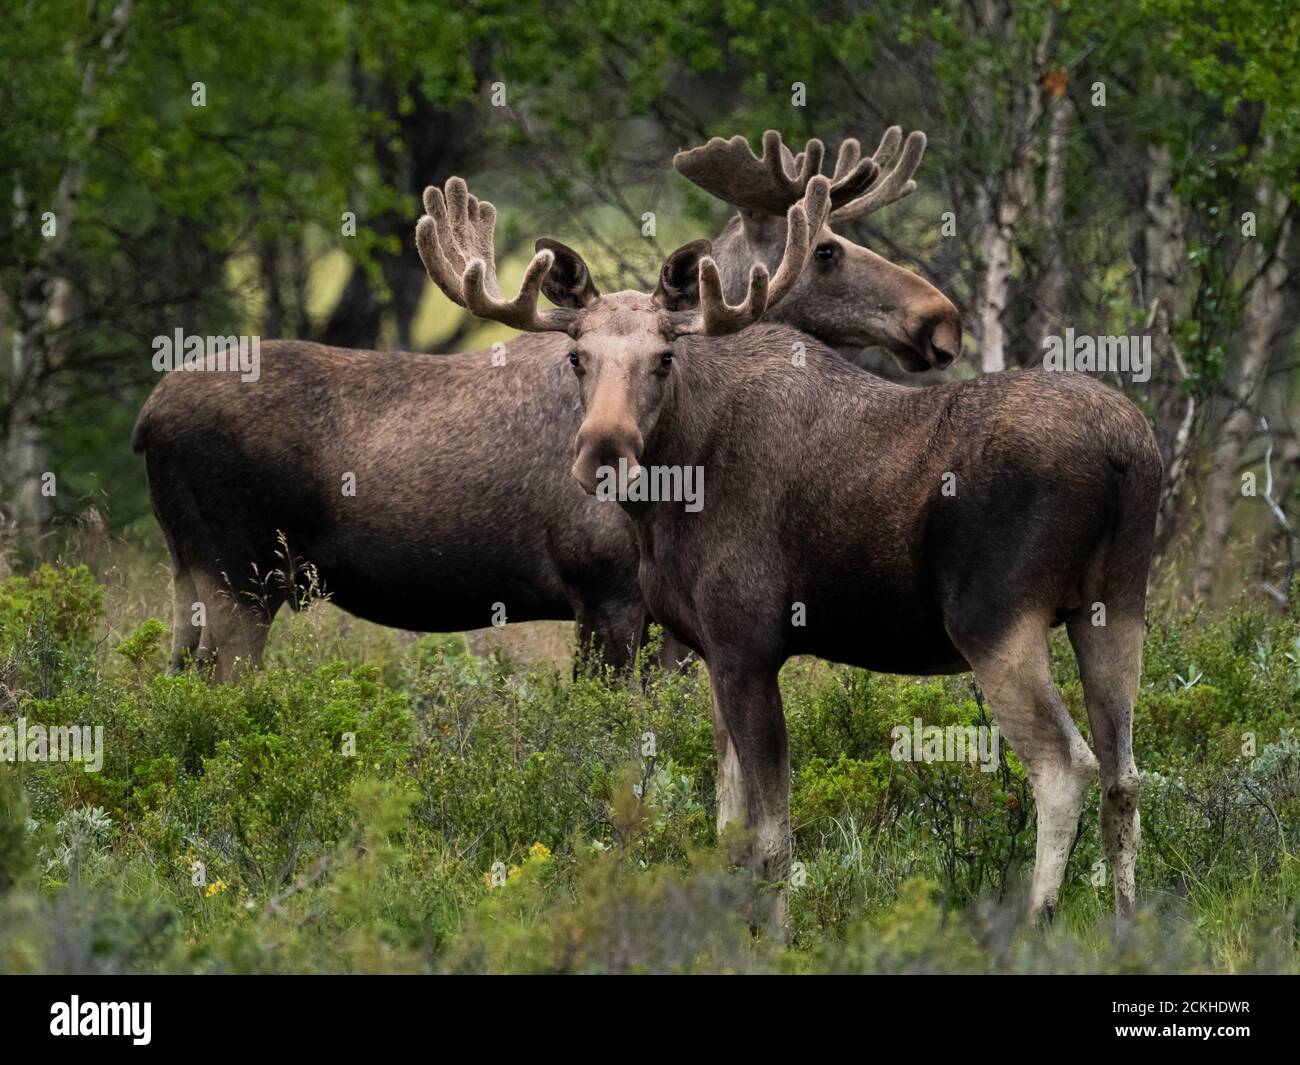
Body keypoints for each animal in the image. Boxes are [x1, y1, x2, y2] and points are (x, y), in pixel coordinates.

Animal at [133, 127, 960, 681]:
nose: (941, 319)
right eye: (825, 249)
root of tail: (145, 419)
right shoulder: (606, 592)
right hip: (236, 574)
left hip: (191, 581)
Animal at [420, 175, 1163, 934]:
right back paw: (1128, 924)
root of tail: (1128, 453)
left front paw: (775, 938)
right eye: (577, 359)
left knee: (1065, 767)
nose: (605, 452)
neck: (670, 492)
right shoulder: (711, 650)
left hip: (996, 619)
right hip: (1115, 605)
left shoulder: (749, 645)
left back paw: (1035, 924)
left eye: (664, 358)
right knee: (1125, 774)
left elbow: (773, 839)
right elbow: (729, 829)